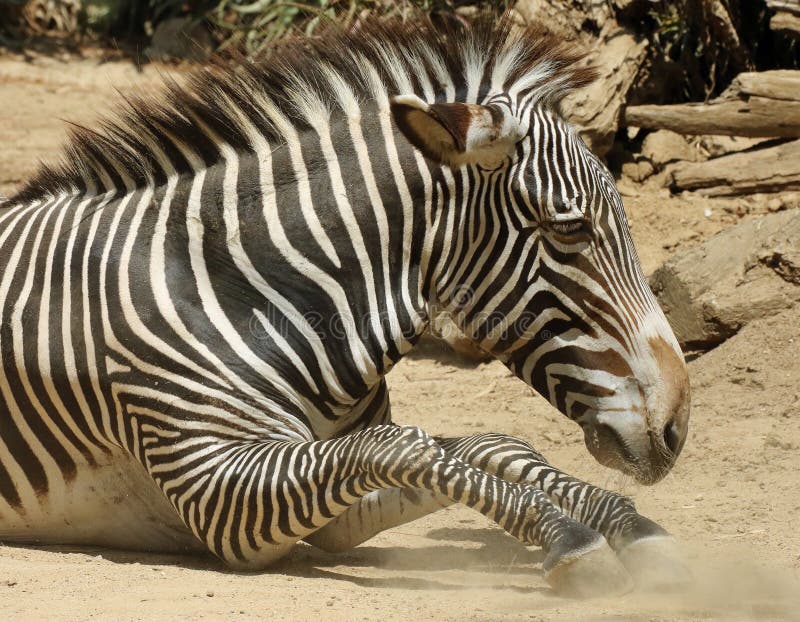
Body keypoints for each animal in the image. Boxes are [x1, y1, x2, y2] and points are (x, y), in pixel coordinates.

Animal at [0, 15, 690, 596]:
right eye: (570, 229)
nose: (677, 428)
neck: (248, 289)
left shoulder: (328, 505)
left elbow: (486, 446)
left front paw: (627, 524)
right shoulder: (219, 491)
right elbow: (409, 447)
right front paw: (568, 536)